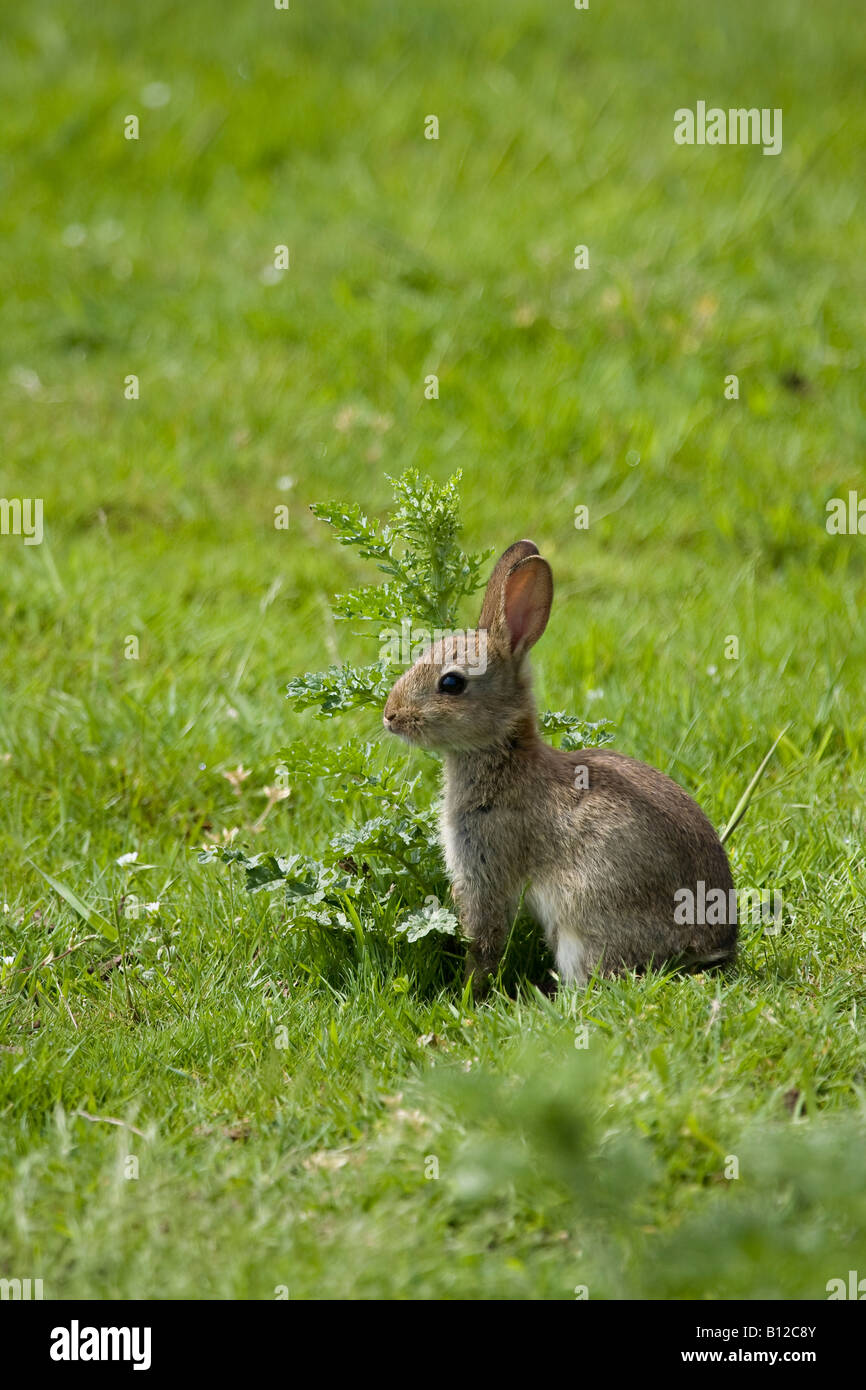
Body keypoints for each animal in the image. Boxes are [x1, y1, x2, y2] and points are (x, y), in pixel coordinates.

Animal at [382, 540, 737, 996]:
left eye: (451, 683)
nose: (391, 716)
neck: (504, 756)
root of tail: (710, 946)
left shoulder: (487, 864)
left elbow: (484, 937)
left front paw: (469, 992)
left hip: (583, 922)